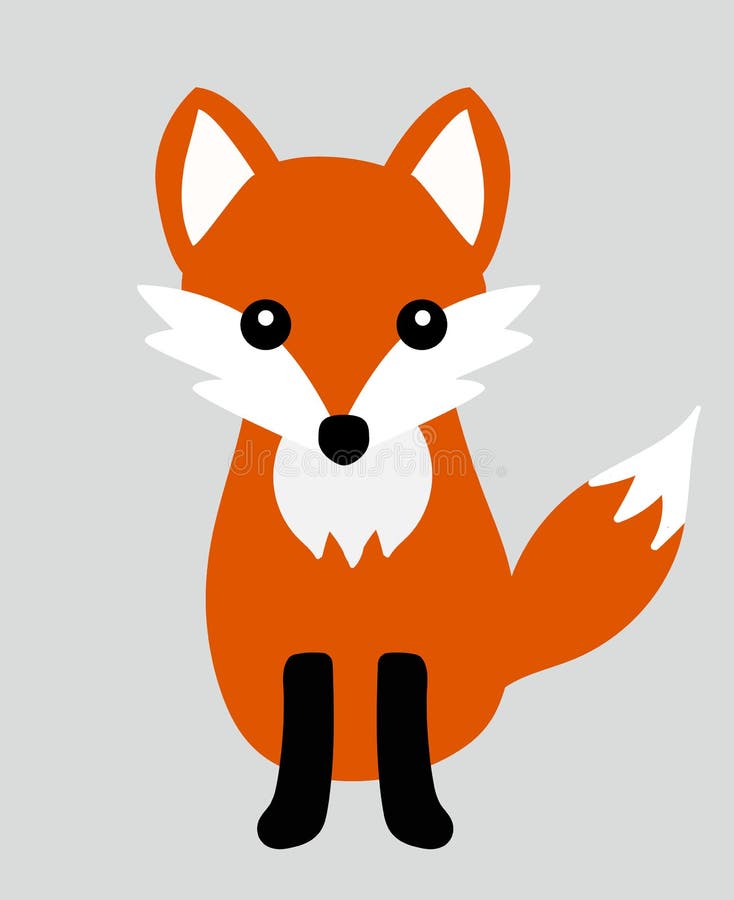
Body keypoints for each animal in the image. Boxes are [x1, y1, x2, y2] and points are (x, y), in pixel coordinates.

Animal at [140, 86, 699, 850]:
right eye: (262, 323)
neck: (351, 523)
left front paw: (420, 823)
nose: (344, 436)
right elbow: (305, 727)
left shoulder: (414, 646)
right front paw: (290, 823)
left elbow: (403, 726)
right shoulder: (295, 645)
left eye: (423, 323)